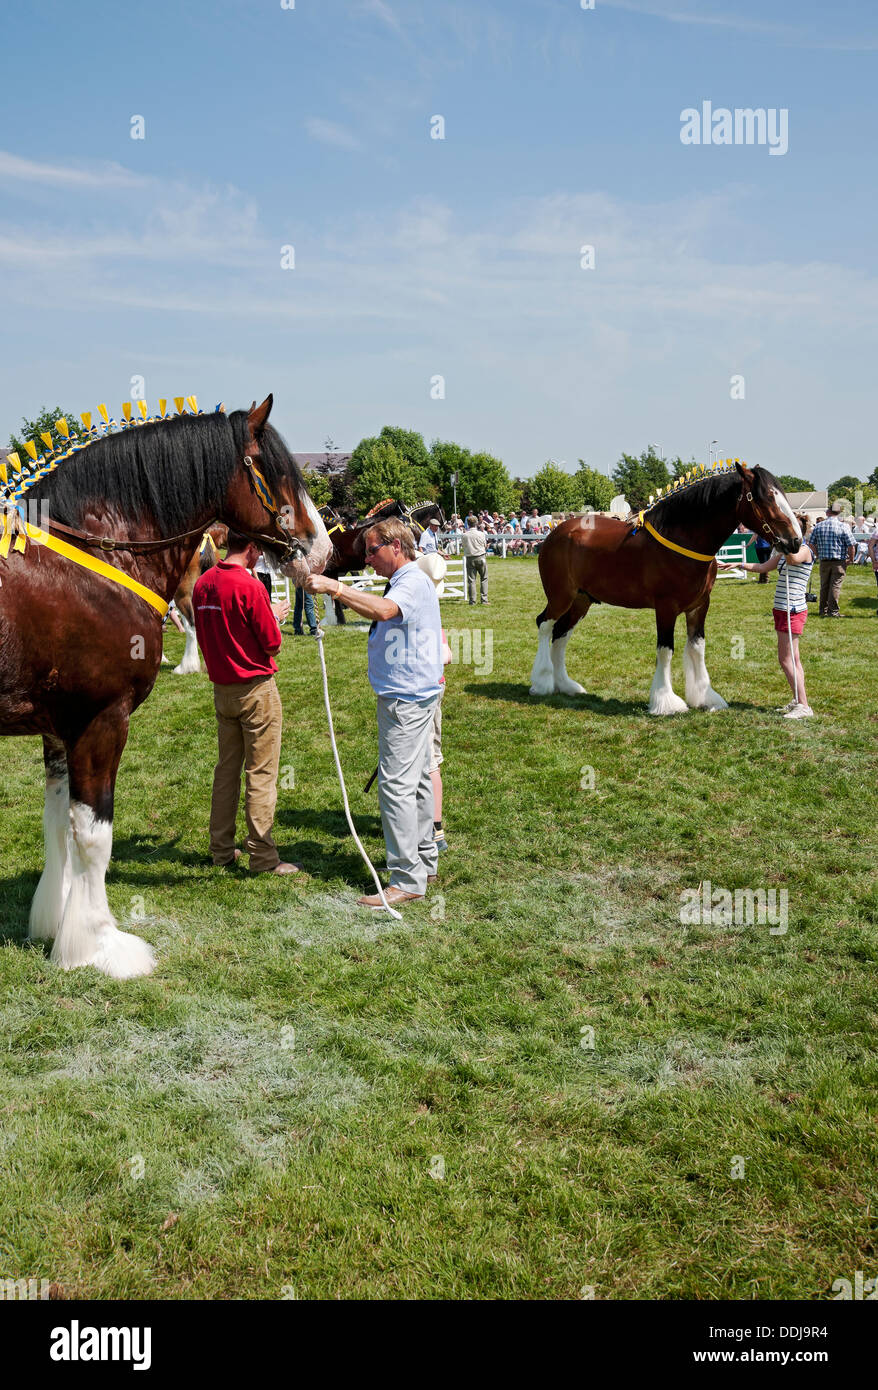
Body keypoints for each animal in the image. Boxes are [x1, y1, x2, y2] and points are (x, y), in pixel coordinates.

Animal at [0, 395, 331, 978]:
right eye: (278, 474)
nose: (323, 549)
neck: (95, 560)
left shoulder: (59, 728)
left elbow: (57, 822)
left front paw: (53, 923)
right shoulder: (100, 722)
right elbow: (93, 834)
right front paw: (98, 945)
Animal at [529, 461, 802, 713]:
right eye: (766, 497)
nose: (796, 541)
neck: (682, 540)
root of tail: (556, 533)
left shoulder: (699, 606)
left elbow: (697, 648)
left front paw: (705, 697)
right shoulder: (666, 608)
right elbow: (665, 650)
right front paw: (666, 701)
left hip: (581, 600)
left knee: (561, 634)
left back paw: (565, 685)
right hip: (561, 596)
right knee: (544, 625)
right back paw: (542, 683)